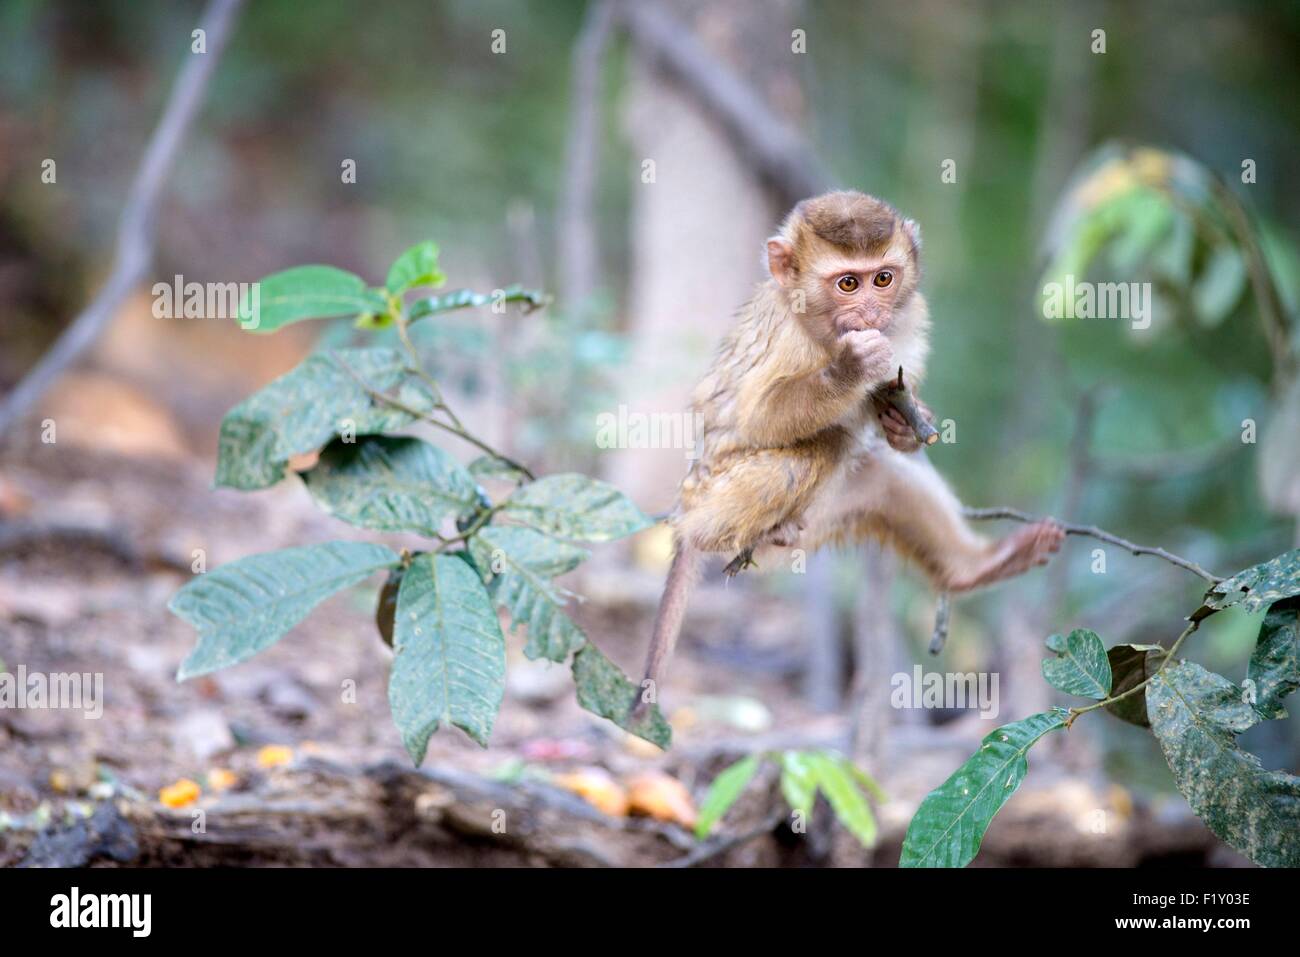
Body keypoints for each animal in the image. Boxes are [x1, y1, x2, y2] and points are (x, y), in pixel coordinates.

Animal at [633, 190, 1064, 718]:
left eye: (882, 278)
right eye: (847, 283)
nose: (871, 313)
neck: (820, 329)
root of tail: (685, 510)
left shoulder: (909, 319)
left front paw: (904, 422)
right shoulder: (788, 337)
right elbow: (759, 415)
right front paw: (851, 368)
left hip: (822, 517)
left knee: (882, 476)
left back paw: (974, 567)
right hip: (718, 500)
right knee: (829, 443)